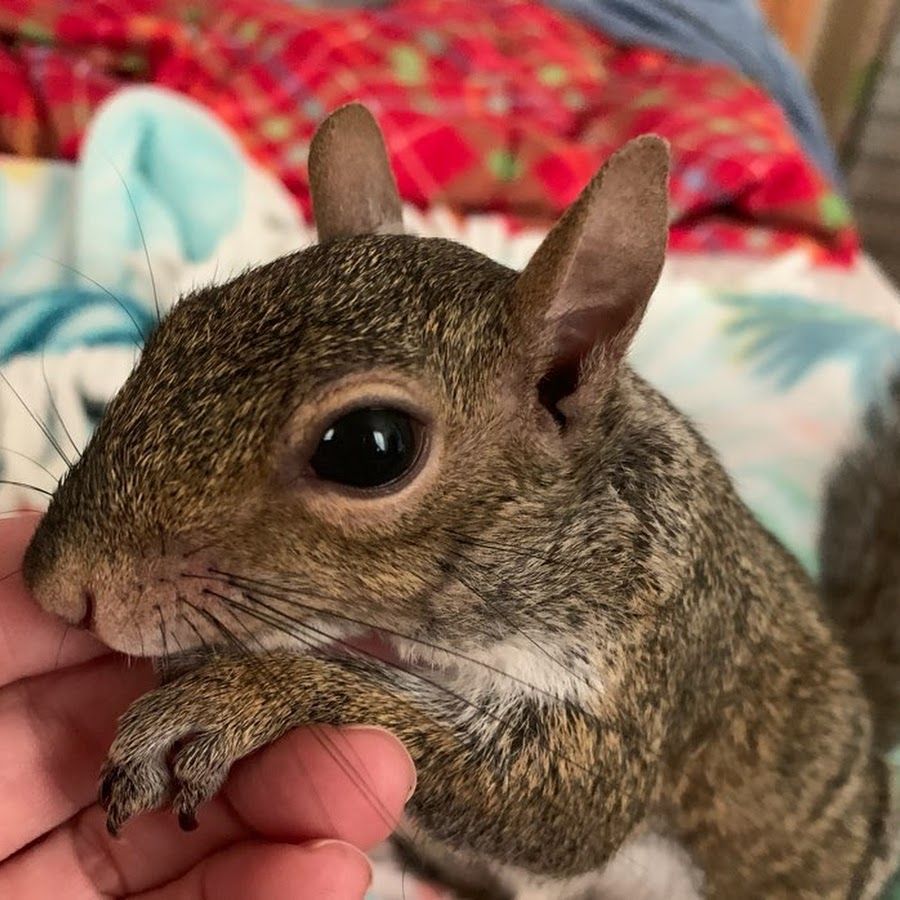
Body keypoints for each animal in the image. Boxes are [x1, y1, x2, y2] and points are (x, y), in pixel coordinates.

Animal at [22, 103, 900, 899]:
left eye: (370, 446)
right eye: (176, 327)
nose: (57, 588)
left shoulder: (639, 669)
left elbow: (566, 809)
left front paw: (240, 694)